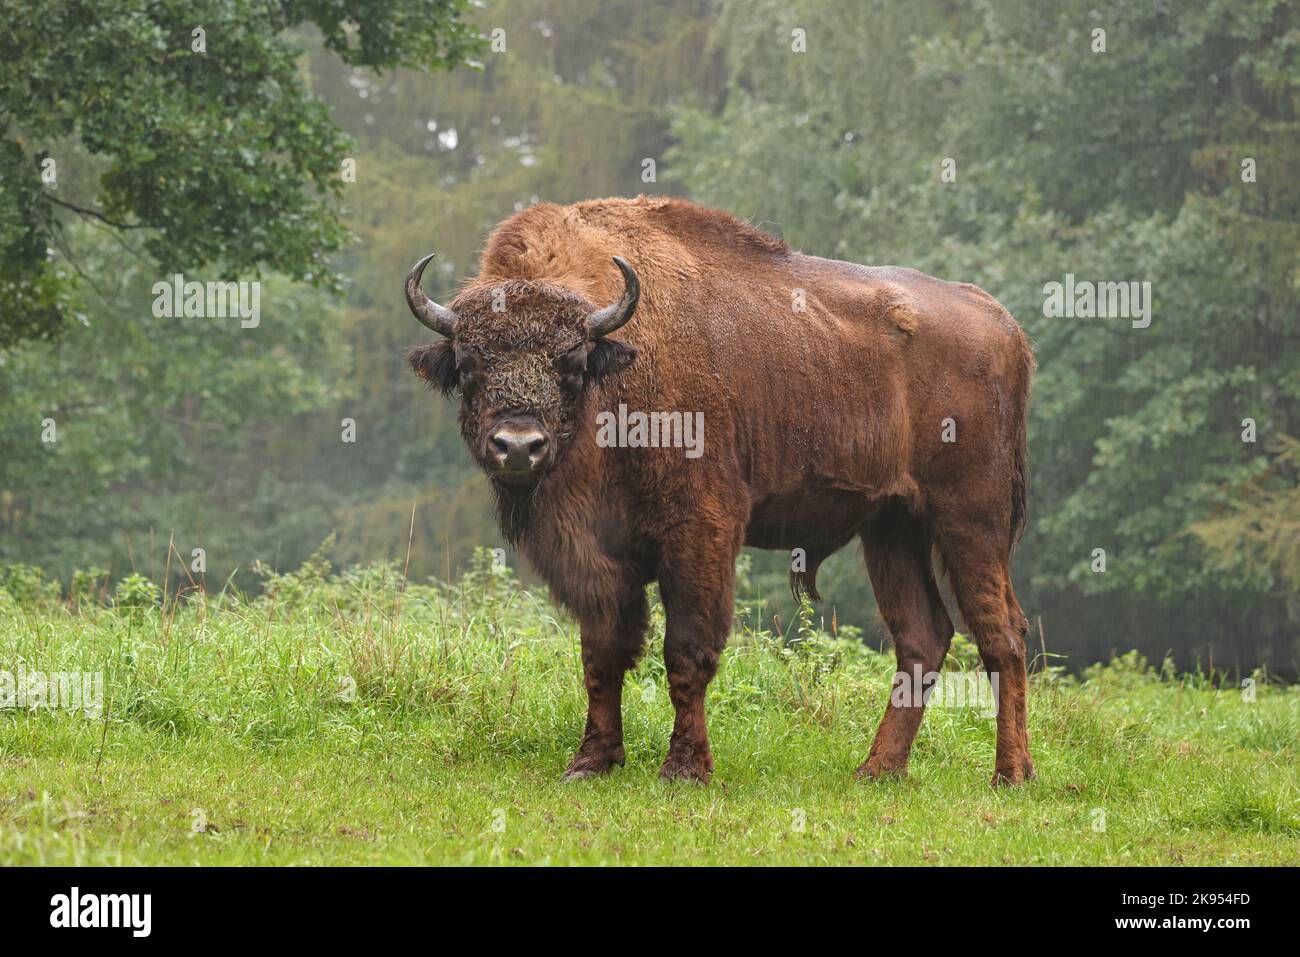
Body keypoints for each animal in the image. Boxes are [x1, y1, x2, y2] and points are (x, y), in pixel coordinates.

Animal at [406, 196, 1035, 785]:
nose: (518, 446)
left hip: (971, 518)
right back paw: (877, 769)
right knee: (923, 635)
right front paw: (591, 762)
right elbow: (601, 656)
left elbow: (686, 652)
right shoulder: (597, 557)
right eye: (469, 363)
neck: (617, 373)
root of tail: (1003, 324)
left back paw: (1010, 774)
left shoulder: (700, 531)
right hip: (892, 526)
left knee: (1002, 633)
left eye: (572, 361)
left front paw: (685, 768)